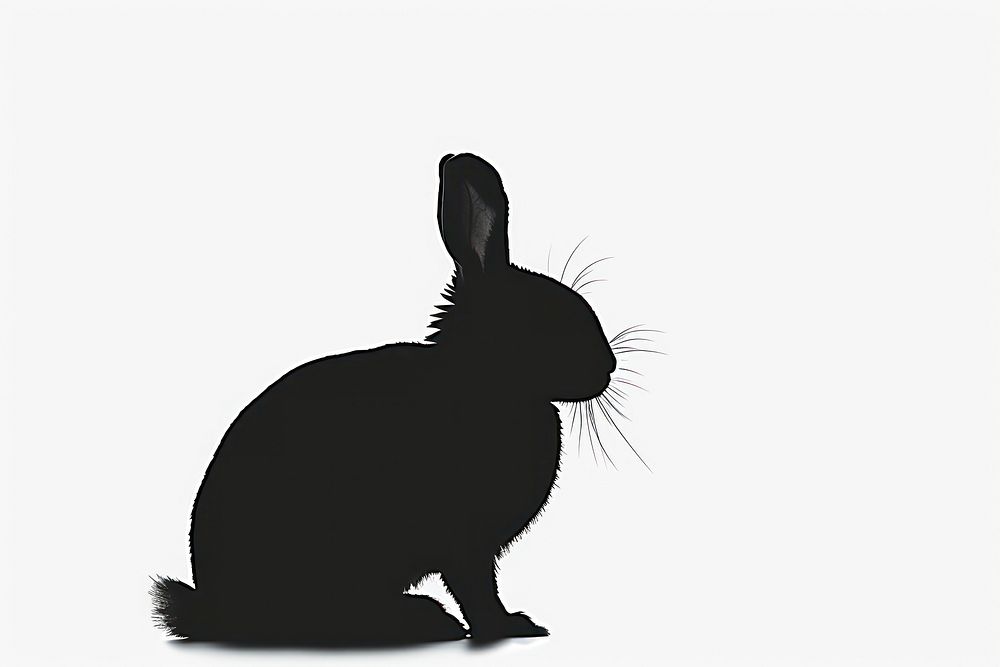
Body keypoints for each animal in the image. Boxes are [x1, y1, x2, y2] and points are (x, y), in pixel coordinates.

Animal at [151, 153, 618, 644]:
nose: (609, 366)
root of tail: (214, 608)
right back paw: (423, 619)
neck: (482, 379)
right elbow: (475, 587)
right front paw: (510, 627)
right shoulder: (463, 540)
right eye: (545, 321)